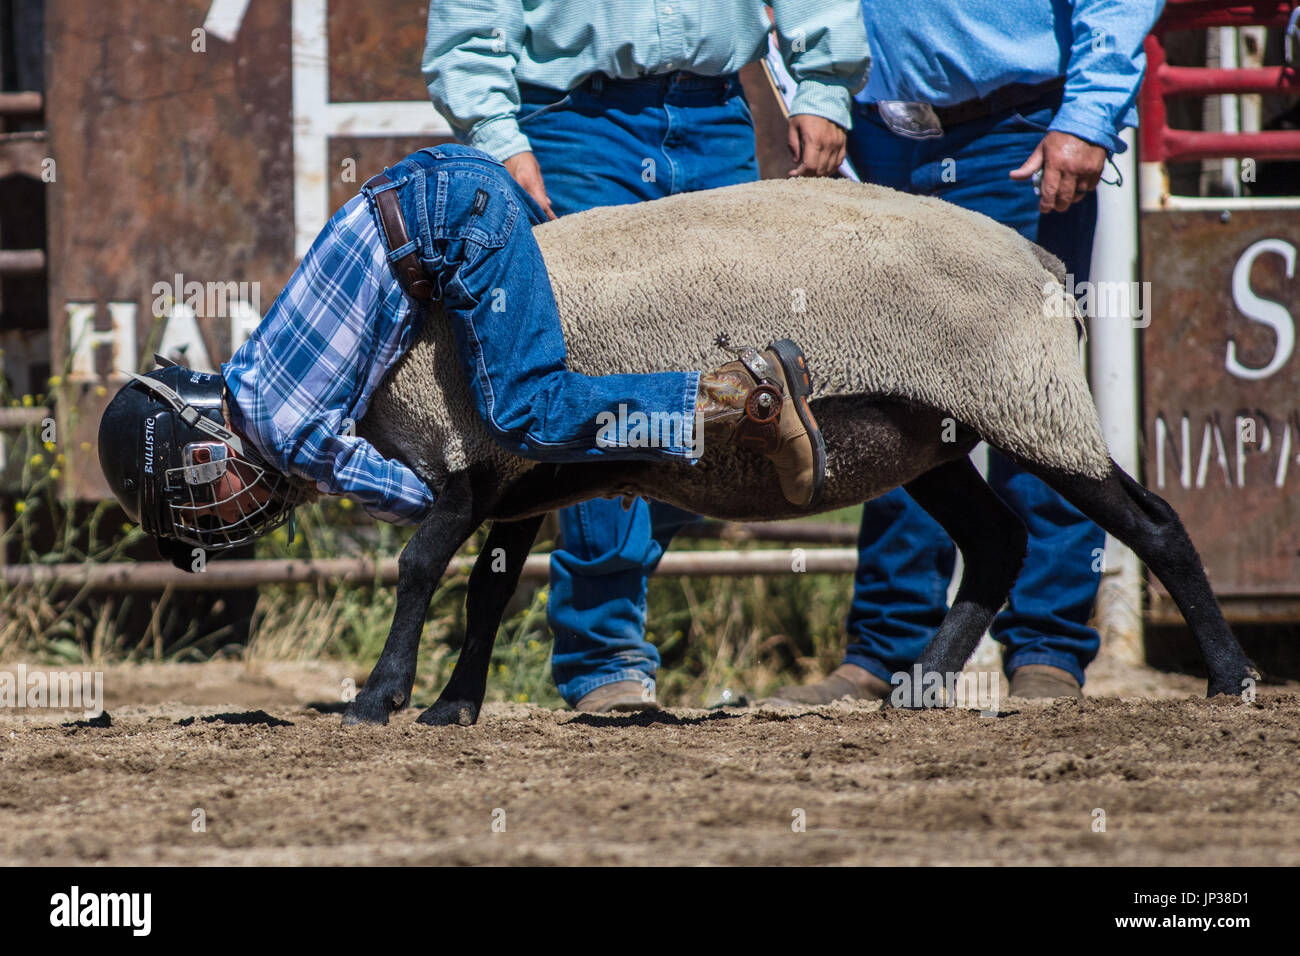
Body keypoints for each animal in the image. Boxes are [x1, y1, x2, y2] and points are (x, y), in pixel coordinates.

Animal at [343, 176, 1258, 726]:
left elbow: (421, 566)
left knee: (1153, 523)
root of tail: (1039, 257)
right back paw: (918, 688)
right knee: (998, 540)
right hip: (930, 433)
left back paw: (1229, 676)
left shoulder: (472, 464)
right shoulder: (518, 471)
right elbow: (487, 595)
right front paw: (453, 707)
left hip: (1027, 398)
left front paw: (381, 696)